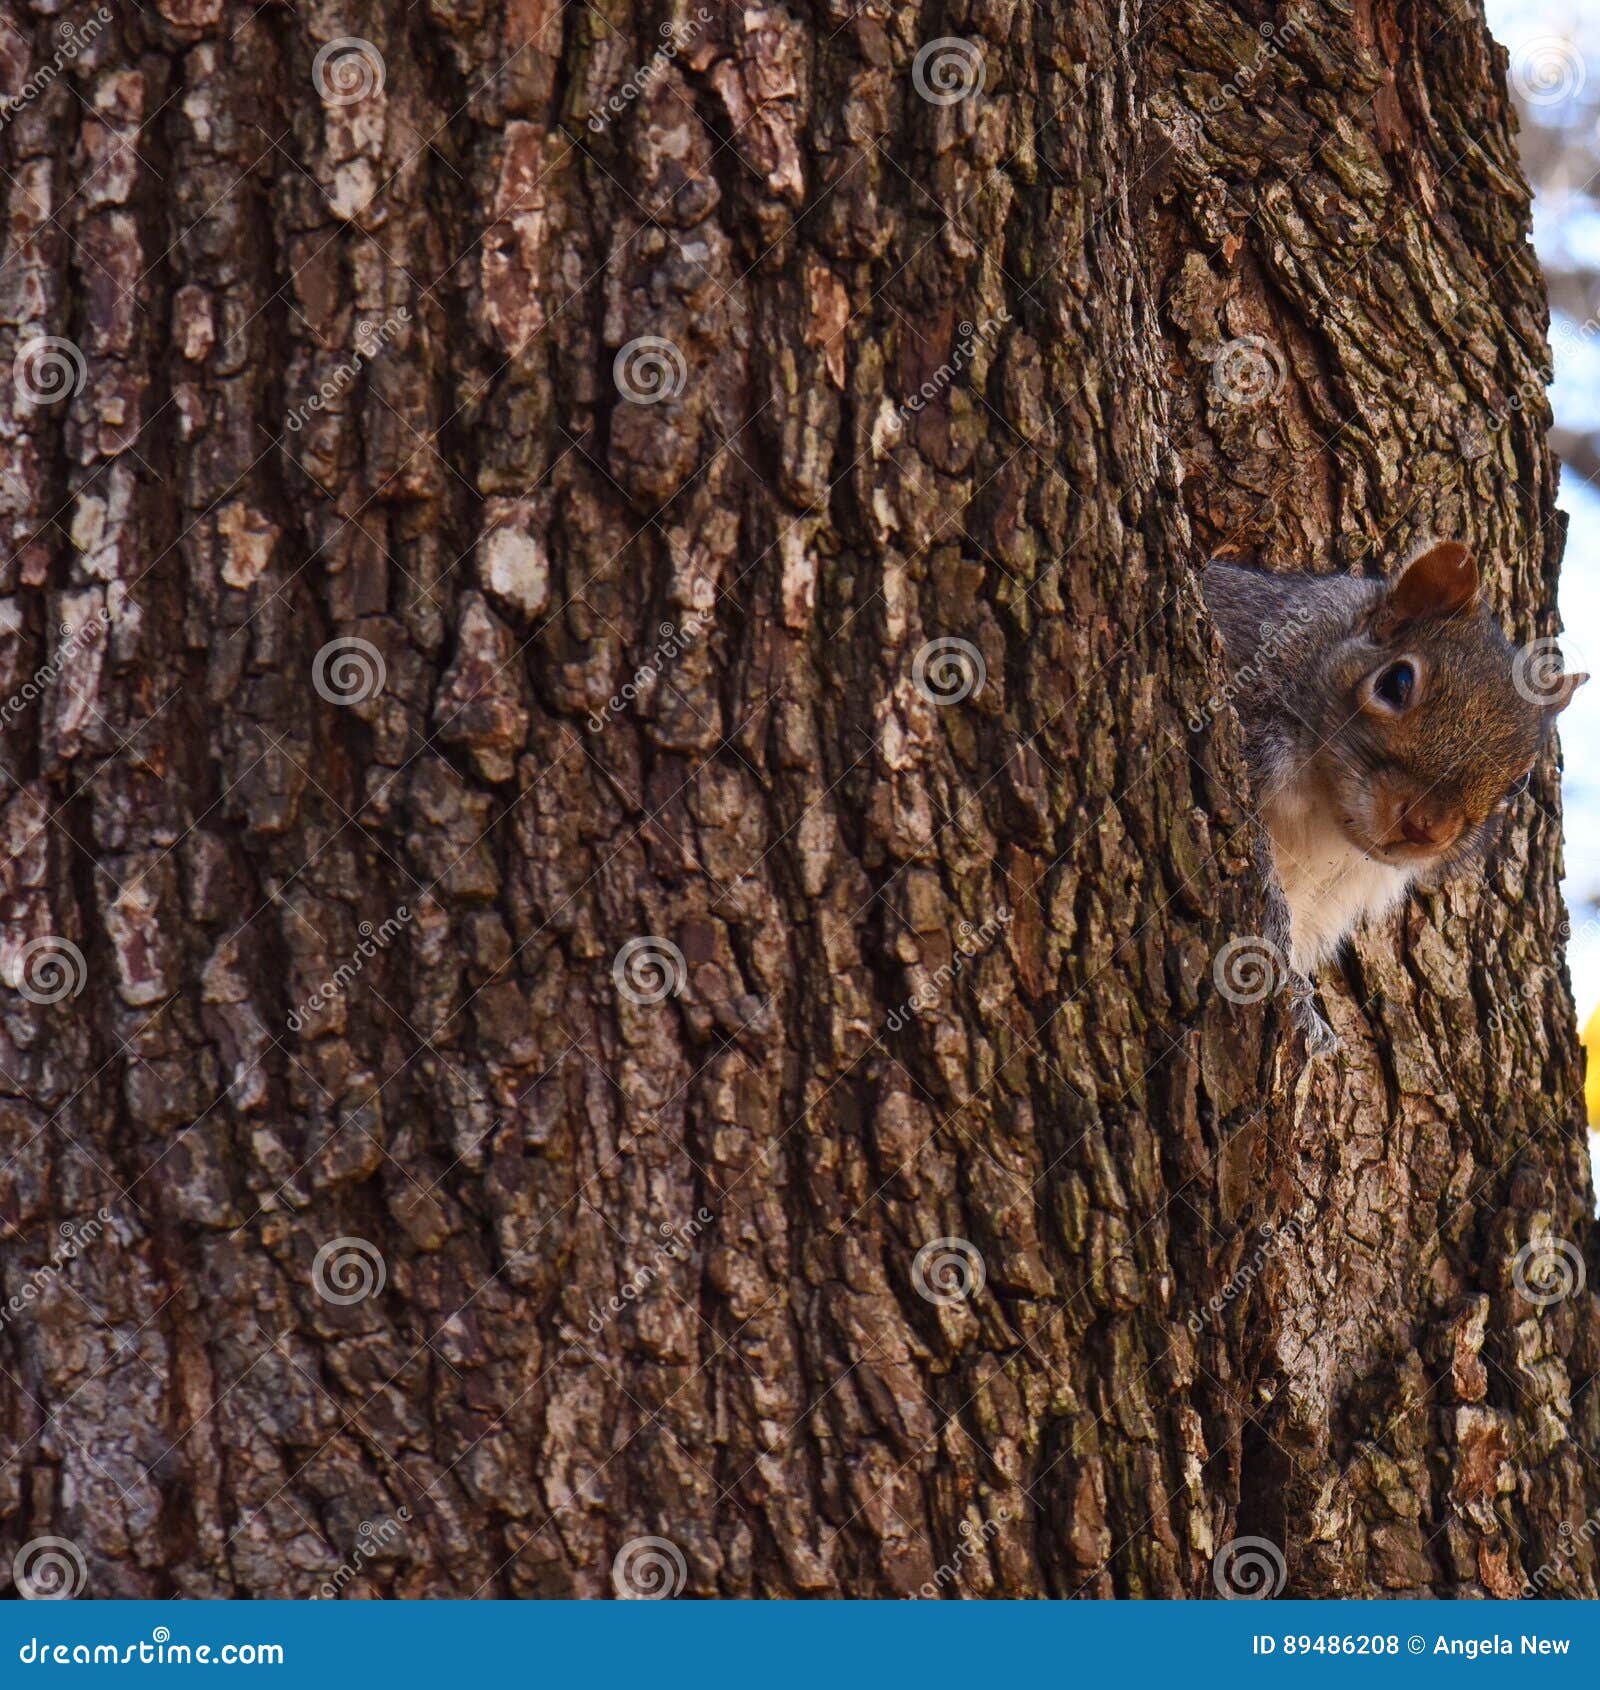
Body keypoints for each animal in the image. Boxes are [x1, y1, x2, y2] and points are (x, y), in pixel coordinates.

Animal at [1202, 540, 1585, 1048]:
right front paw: (1295, 995)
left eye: (1520, 782)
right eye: (1396, 683)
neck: (1323, 814)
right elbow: (1264, 881)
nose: (1426, 827)